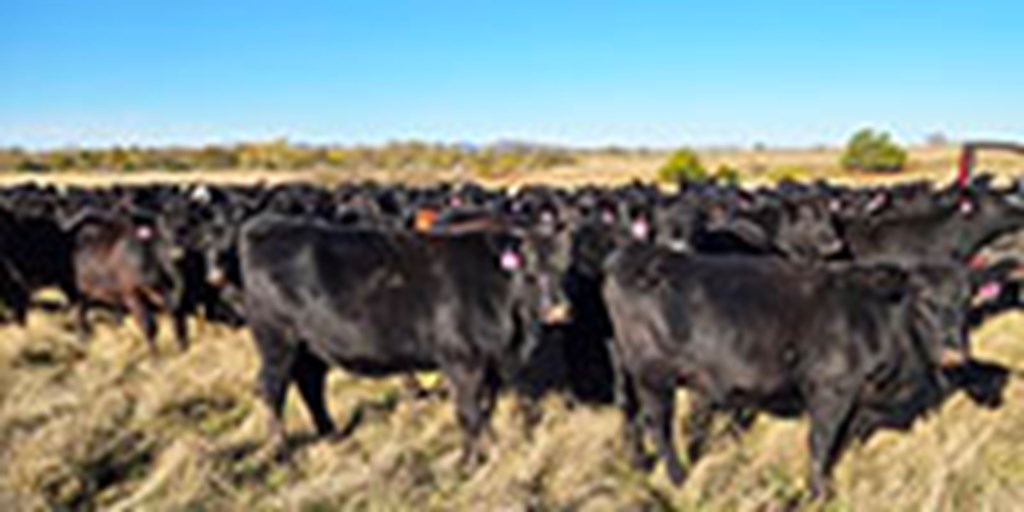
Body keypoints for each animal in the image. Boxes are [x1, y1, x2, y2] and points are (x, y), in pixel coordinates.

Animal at [239, 212, 572, 465]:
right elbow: (468, 413)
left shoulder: (492, 365)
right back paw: (282, 451)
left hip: (310, 345)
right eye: (527, 269)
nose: (558, 310)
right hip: (277, 340)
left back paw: (332, 435)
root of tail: (267, 224)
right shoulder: (462, 360)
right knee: (272, 391)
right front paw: (470, 461)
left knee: (309, 382)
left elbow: (484, 410)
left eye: (564, 266)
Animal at [602, 244, 979, 499]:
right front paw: (818, 495)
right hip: (654, 377)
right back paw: (680, 480)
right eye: (923, 298)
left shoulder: (857, 408)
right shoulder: (830, 391)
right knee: (658, 426)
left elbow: (838, 449)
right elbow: (820, 445)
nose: (954, 354)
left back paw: (638, 467)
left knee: (634, 420)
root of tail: (635, 255)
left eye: (967, 298)